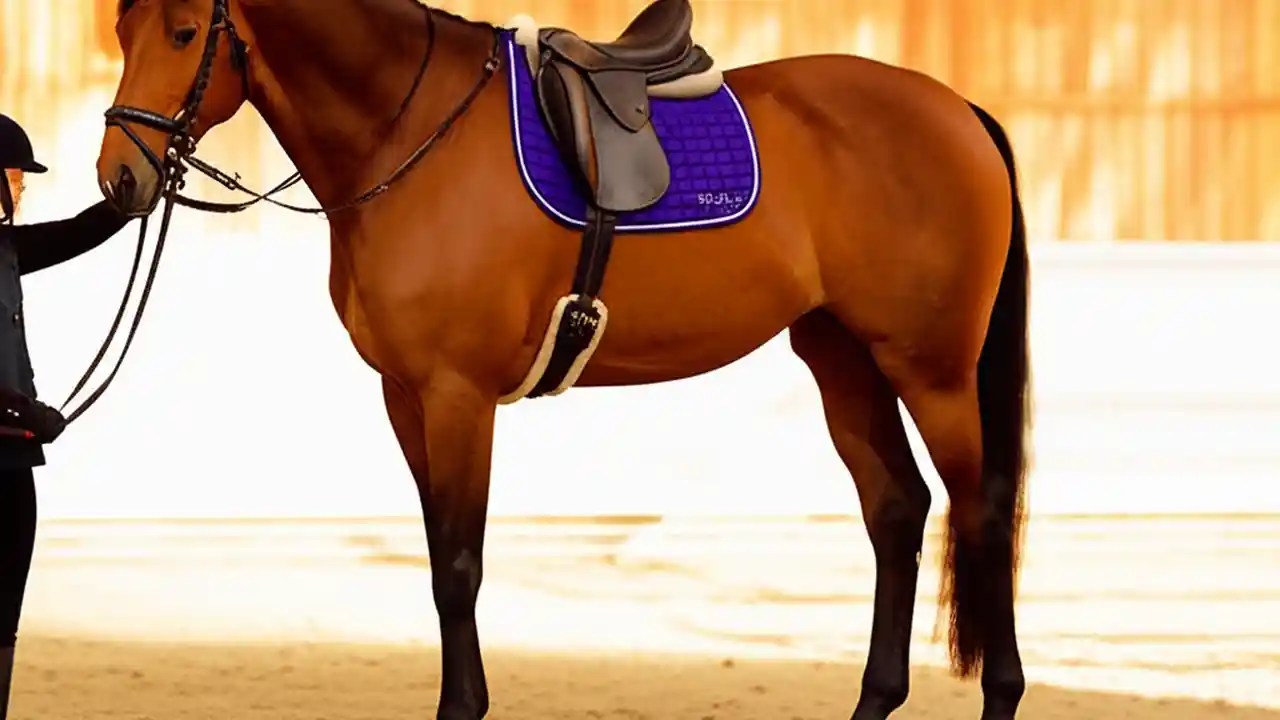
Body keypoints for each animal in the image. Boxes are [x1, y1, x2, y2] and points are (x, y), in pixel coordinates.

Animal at [94, 0, 1032, 718]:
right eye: (122, 29)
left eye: (184, 33)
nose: (120, 180)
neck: (408, 133)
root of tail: (960, 110)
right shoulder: (406, 398)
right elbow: (437, 560)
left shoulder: (458, 395)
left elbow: (459, 568)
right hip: (843, 357)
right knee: (897, 510)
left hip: (933, 371)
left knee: (980, 513)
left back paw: (1003, 689)